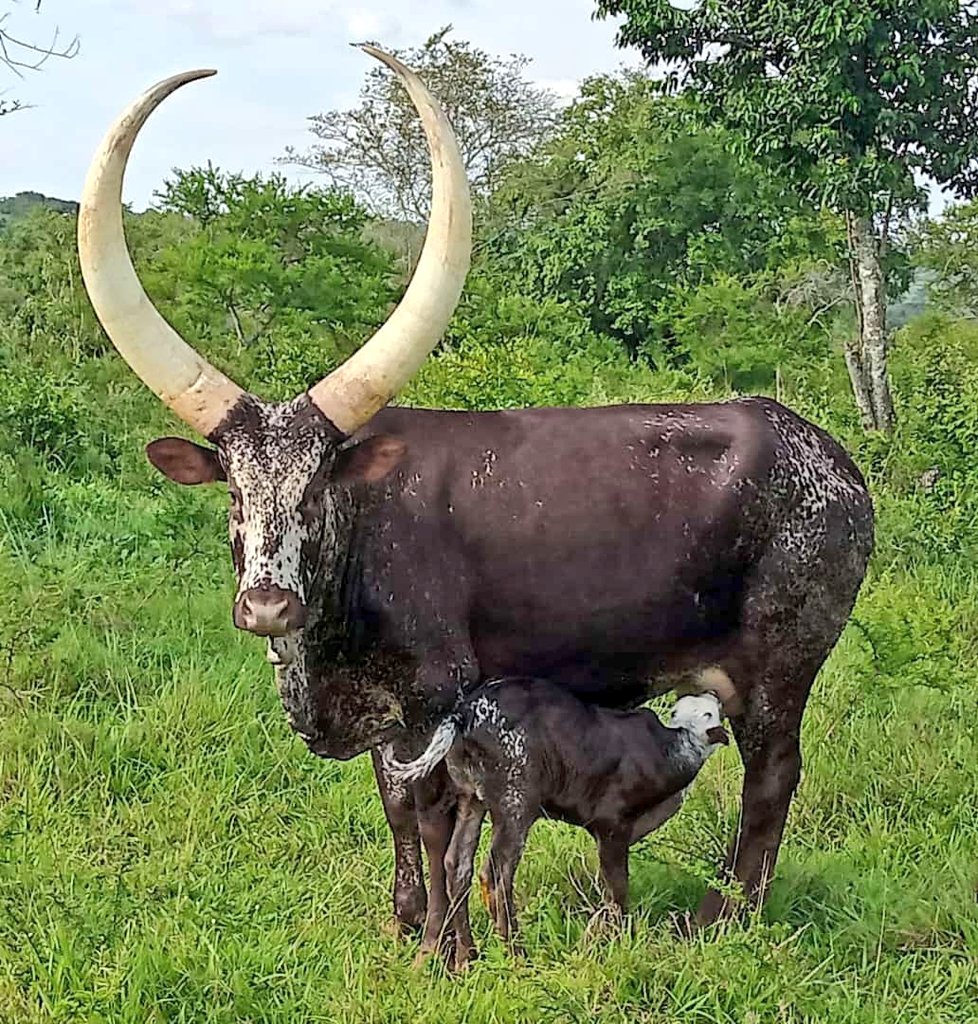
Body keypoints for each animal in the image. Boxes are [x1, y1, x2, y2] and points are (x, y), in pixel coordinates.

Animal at [77, 47, 874, 959]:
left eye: (318, 488)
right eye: (235, 491)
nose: (268, 605)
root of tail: (836, 461)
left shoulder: (438, 697)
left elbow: (435, 818)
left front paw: (445, 947)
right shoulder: (387, 718)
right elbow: (395, 809)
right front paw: (404, 921)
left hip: (783, 665)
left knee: (771, 778)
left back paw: (729, 914)